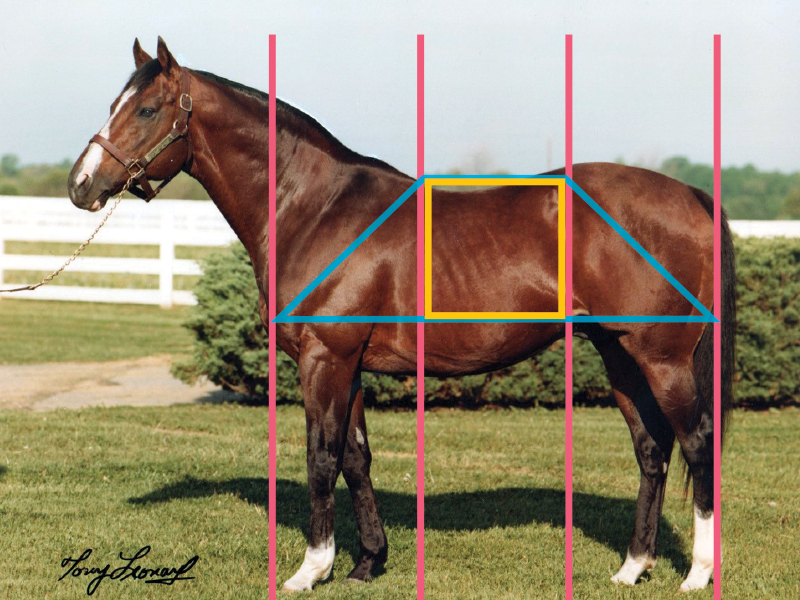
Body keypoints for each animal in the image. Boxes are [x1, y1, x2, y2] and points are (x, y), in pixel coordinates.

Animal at [67, 38, 735, 593]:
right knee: (652, 450)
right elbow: (355, 458)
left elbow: (321, 459)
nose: (81, 185)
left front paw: (310, 570)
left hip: (662, 358)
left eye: (147, 110)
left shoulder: (324, 359)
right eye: (114, 103)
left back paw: (697, 574)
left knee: (697, 444)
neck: (316, 209)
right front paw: (367, 562)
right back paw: (631, 569)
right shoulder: (350, 364)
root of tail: (692, 195)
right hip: (618, 351)